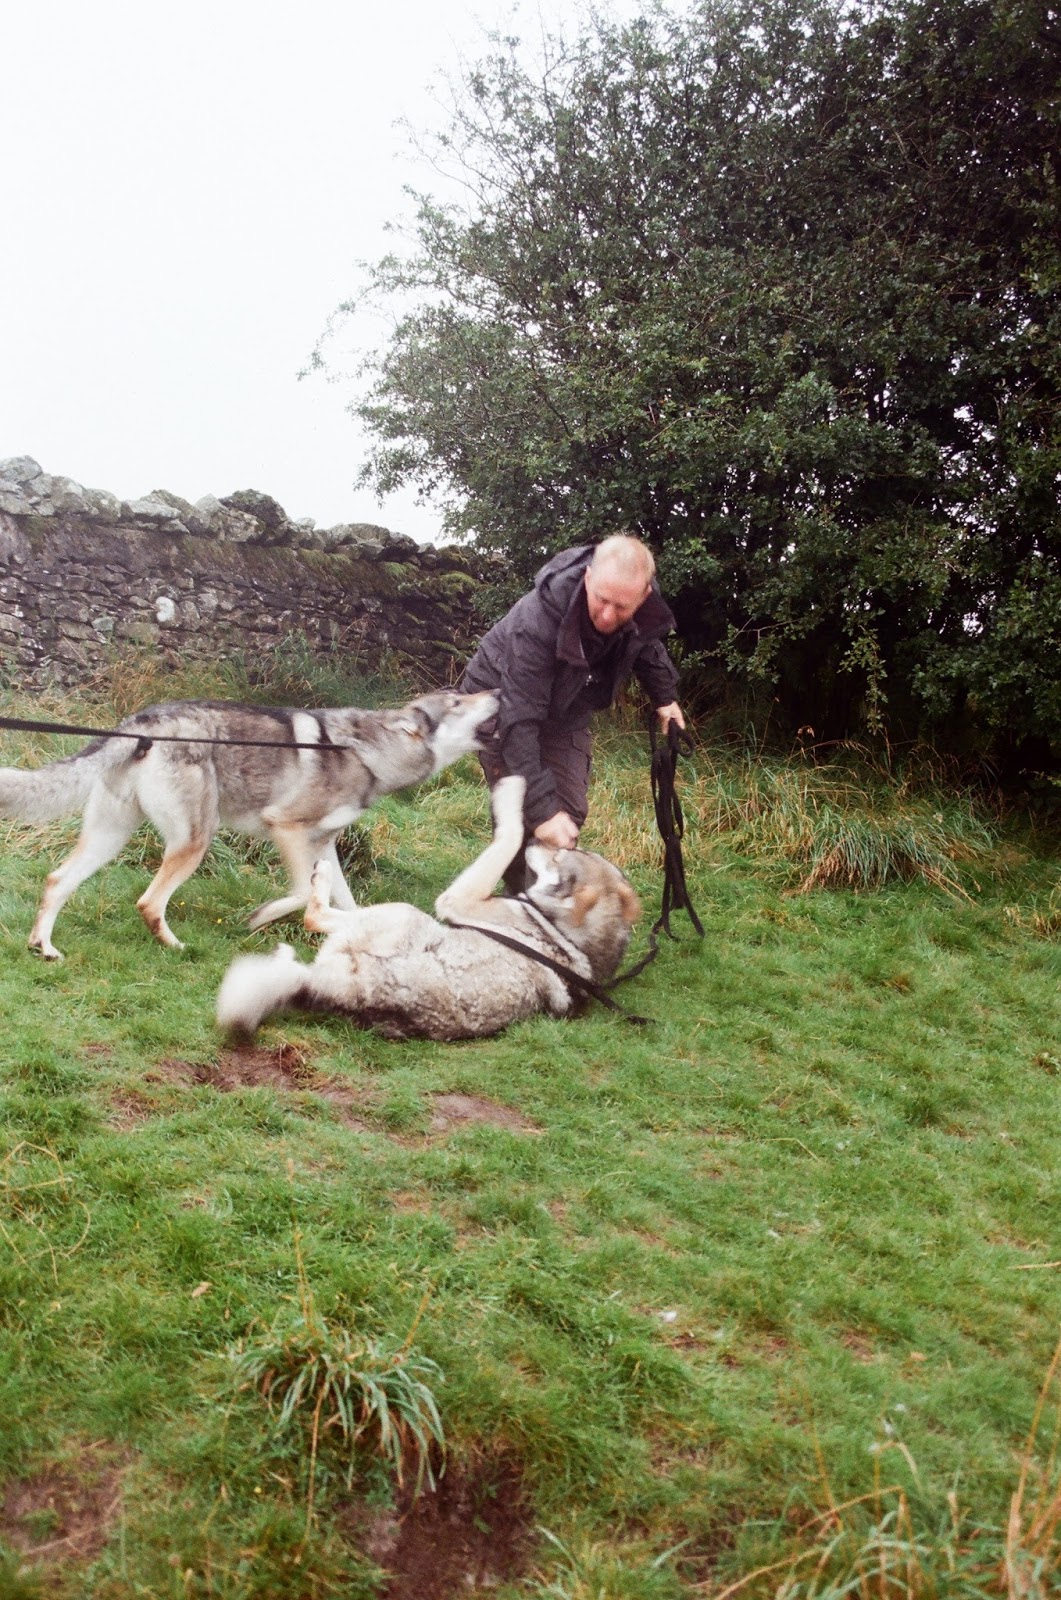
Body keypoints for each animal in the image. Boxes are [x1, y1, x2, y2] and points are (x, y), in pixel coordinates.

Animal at [0, 689, 498, 960]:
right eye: (458, 700)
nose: (496, 691)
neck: (368, 754)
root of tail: (141, 721)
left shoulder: (325, 848)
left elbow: (349, 904)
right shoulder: (287, 829)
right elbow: (298, 894)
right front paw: (259, 918)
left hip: (111, 837)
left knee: (57, 880)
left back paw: (44, 948)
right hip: (194, 843)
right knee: (148, 902)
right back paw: (177, 948)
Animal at [215, 774, 641, 1041]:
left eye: (561, 856)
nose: (540, 839)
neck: (568, 934)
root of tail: (350, 993)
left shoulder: (455, 901)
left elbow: (508, 833)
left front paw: (513, 792)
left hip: (404, 912)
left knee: (315, 916)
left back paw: (315, 887)